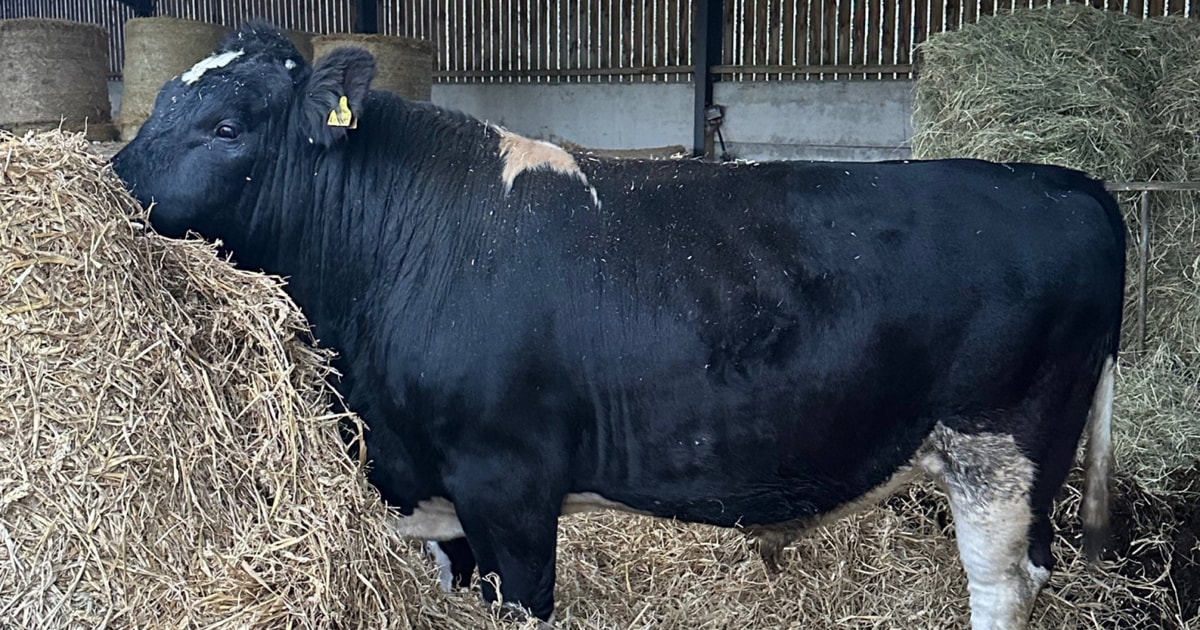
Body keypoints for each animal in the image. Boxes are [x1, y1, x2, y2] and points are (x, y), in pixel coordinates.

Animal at [112, 21, 1125, 630]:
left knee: (1002, 587)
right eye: (159, 101)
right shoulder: (442, 498)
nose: (108, 180)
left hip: (998, 456)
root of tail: (1072, 184)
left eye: (228, 127)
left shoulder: (508, 484)